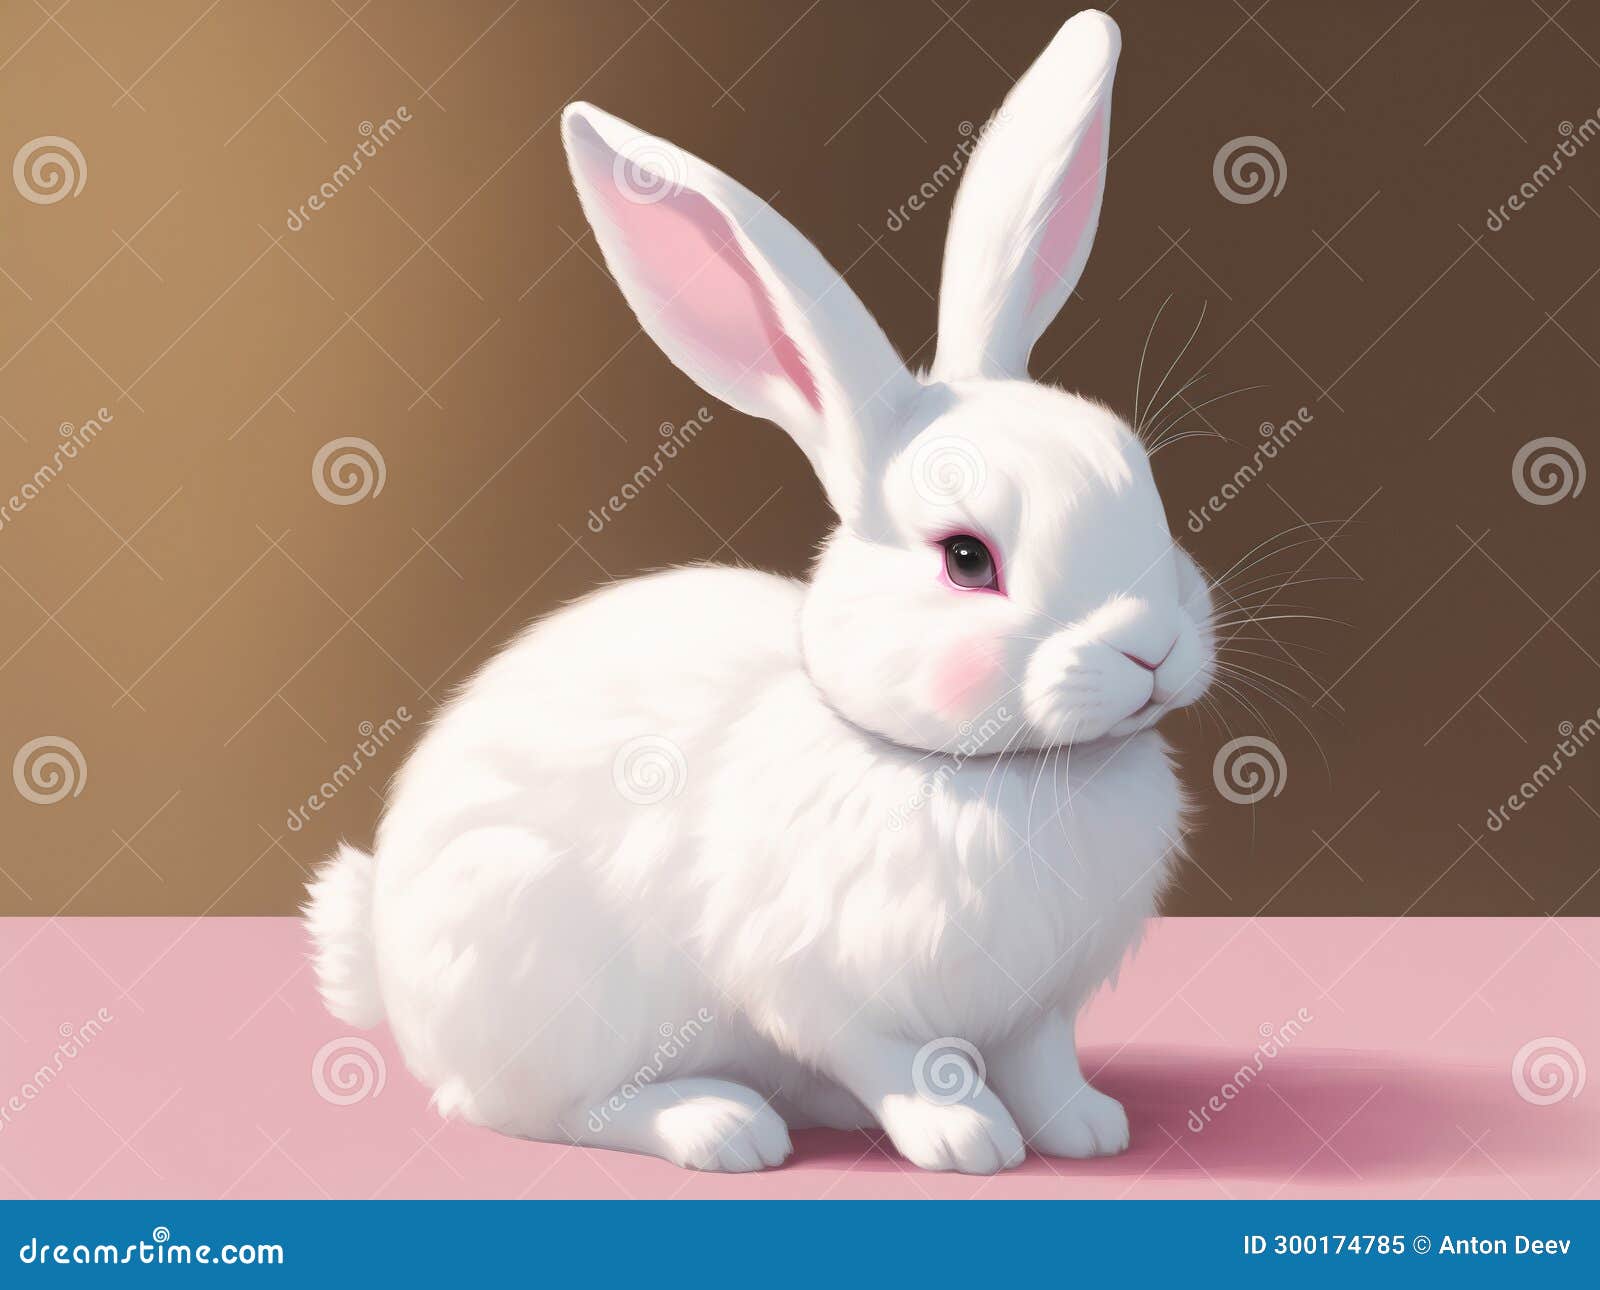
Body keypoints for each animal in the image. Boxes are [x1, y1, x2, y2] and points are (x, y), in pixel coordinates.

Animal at [305, 9, 1216, 1175]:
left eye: (1143, 484)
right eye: (967, 559)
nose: (1150, 648)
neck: (990, 775)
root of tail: (388, 973)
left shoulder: (1037, 1007)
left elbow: (1044, 1061)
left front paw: (1088, 1131)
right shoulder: (819, 984)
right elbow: (906, 1062)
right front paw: (967, 1140)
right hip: (536, 958)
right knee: (542, 1110)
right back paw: (724, 1125)